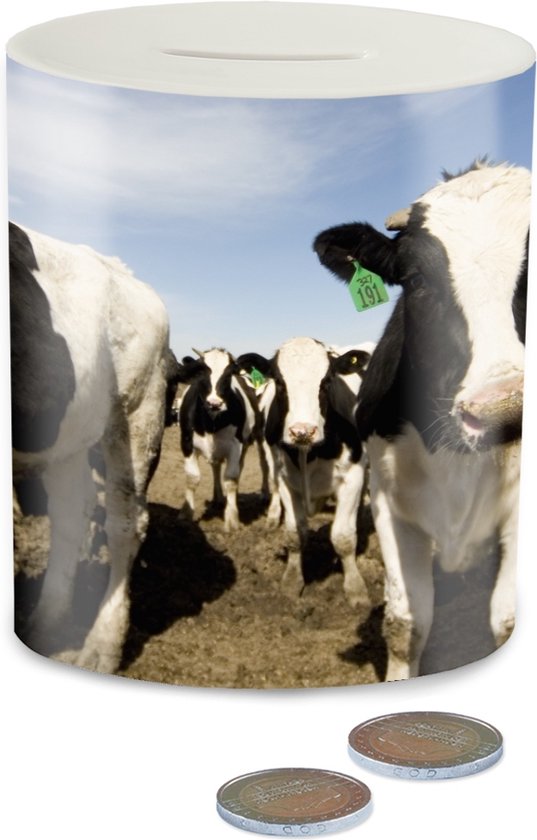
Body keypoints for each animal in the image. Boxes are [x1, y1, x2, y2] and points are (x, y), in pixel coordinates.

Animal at [10, 221, 172, 674]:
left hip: (137, 411)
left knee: (124, 522)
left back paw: (102, 645)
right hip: (68, 431)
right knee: (72, 511)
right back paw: (46, 623)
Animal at [177, 348, 268, 531]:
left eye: (229, 374)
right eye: (201, 372)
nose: (215, 403)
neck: (210, 423)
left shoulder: (235, 445)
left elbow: (231, 479)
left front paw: (232, 519)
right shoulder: (186, 441)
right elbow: (192, 478)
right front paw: (186, 513)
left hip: (257, 436)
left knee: (261, 463)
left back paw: (263, 493)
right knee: (217, 466)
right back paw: (218, 497)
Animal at [237, 337, 373, 605]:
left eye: (327, 380)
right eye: (279, 382)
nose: (302, 431)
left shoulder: (352, 476)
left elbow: (343, 537)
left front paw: (355, 588)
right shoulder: (286, 480)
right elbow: (294, 534)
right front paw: (292, 581)